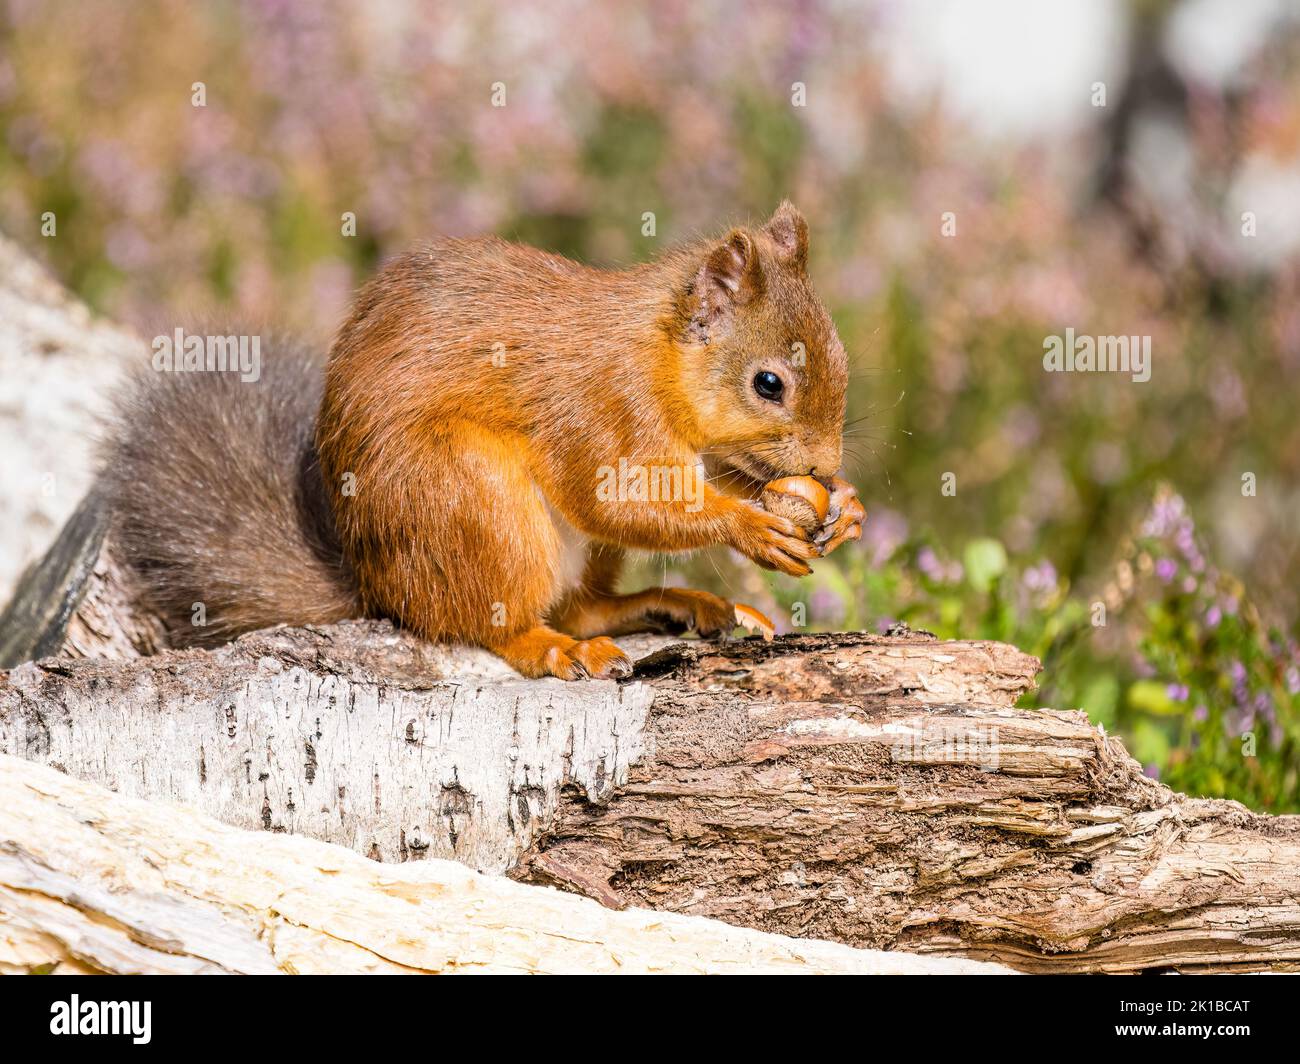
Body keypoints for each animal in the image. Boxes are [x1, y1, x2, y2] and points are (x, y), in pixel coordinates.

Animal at [104, 201, 865, 679]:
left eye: (843, 359)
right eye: (768, 384)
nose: (826, 466)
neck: (658, 355)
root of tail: (381, 591)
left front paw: (847, 509)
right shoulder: (603, 408)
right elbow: (617, 501)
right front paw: (752, 526)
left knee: (582, 606)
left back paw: (675, 603)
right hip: (478, 500)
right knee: (491, 622)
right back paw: (555, 648)